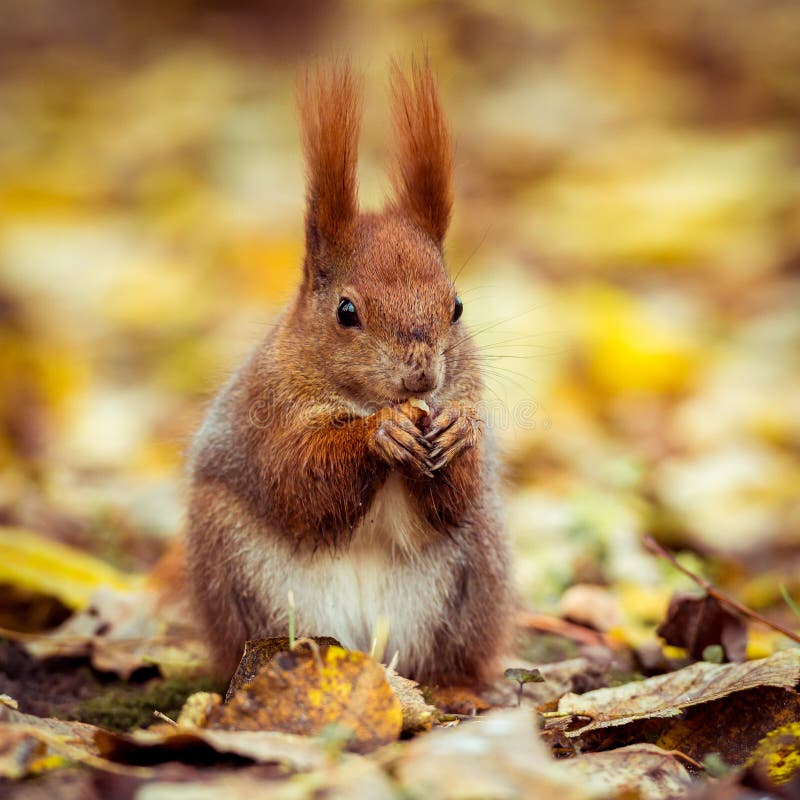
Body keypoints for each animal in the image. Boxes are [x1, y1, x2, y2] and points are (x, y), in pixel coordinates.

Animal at [185, 60, 512, 686]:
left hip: (470, 576)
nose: (422, 378)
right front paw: (378, 435)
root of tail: (366, 650)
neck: (367, 399)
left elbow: (456, 494)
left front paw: (458, 430)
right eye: (346, 311)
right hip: (241, 571)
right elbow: (297, 479)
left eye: (457, 307)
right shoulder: (269, 413)